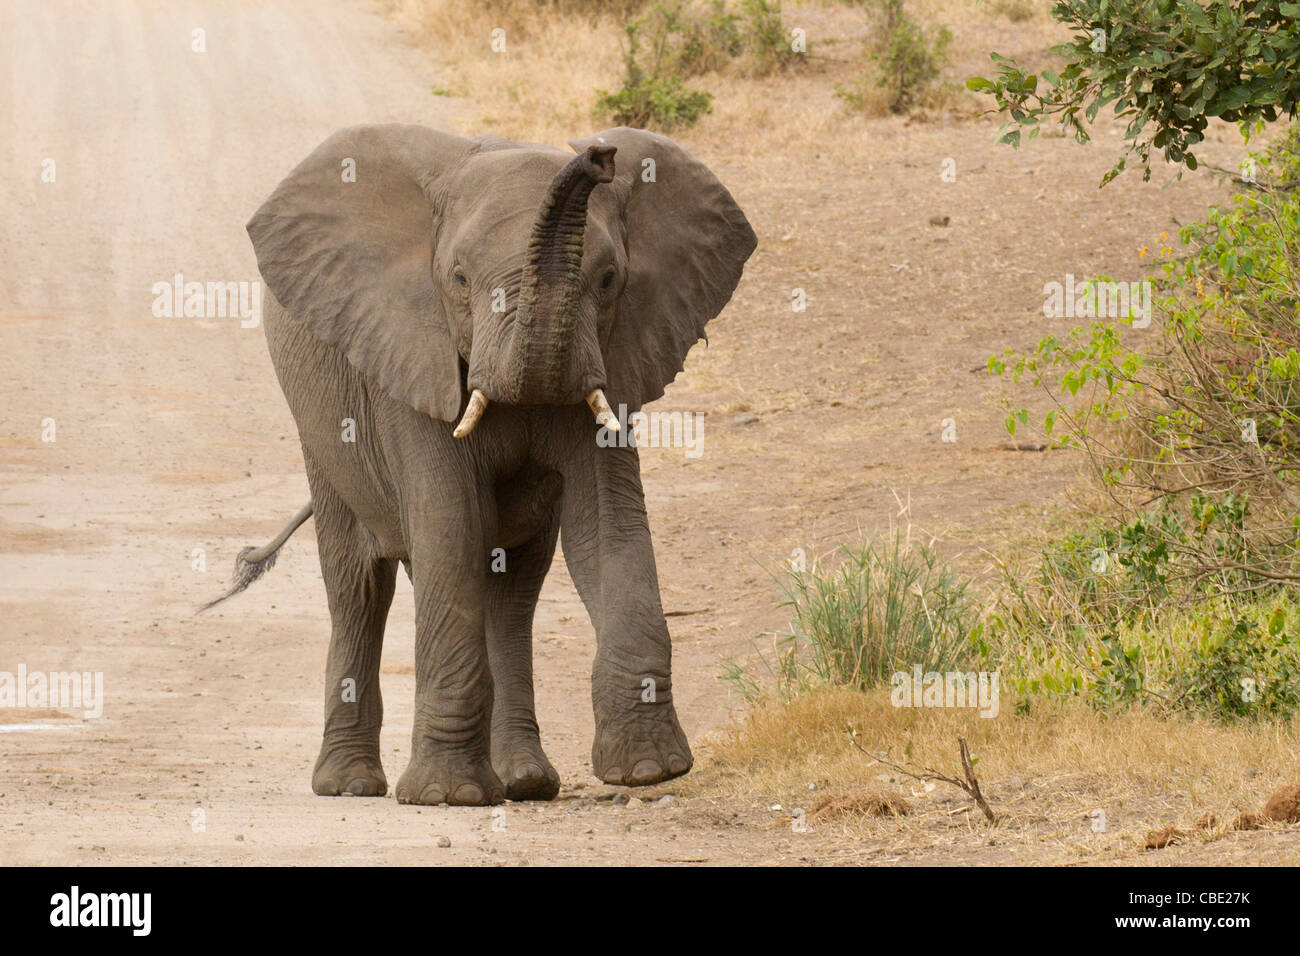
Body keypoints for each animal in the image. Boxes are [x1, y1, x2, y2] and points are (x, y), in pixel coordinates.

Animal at [210, 124, 756, 806]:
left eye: (609, 280)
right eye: (461, 279)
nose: (600, 156)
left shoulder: (613, 359)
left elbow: (609, 530)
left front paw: (651, 769)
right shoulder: (414, 359)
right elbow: (451, 529)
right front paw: (448, 797)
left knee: (512, 591)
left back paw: (524, 782)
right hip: (321, 434)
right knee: (358, 586)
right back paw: (350, 784)